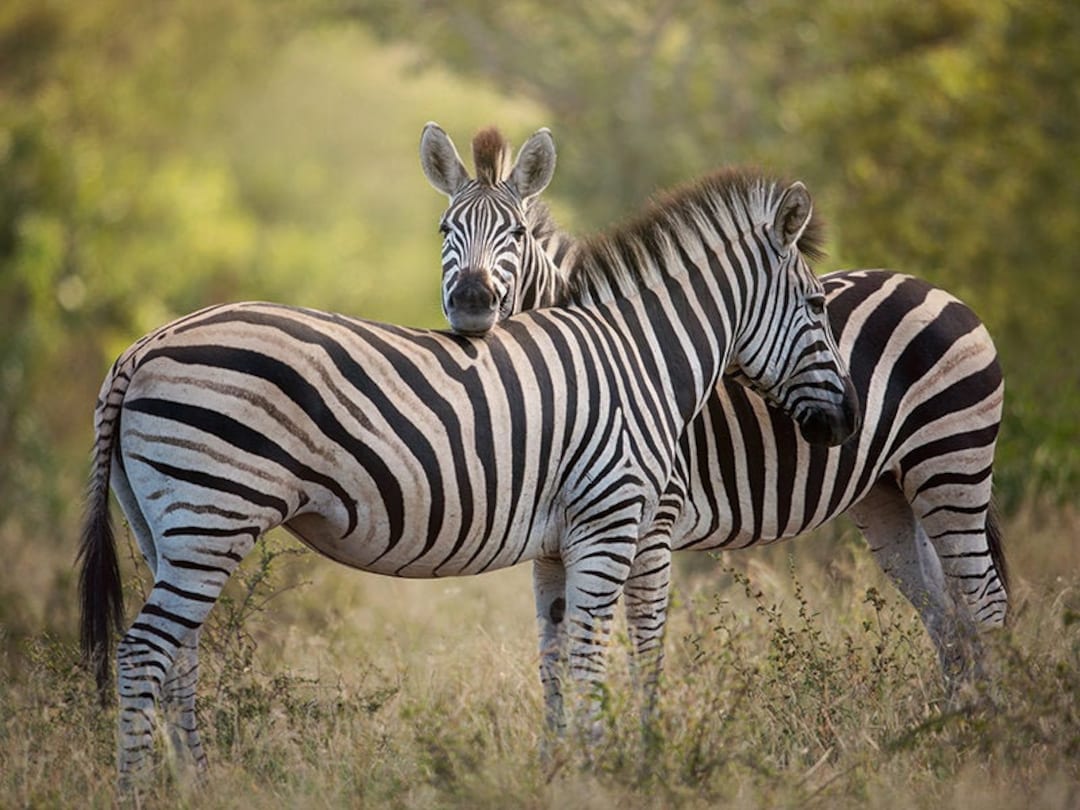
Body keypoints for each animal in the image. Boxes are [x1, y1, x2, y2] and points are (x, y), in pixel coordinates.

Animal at [78, 159, 858, 784]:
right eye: (817, 305)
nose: (847, 420)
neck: (638, 357)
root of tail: (138, 349)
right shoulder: (610, 523)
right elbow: (589, 660)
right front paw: (603, 772)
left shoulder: (558, 544)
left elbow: (556, 659)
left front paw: (562, 772)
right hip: (214, 513)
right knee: (144, 654)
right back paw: (139, 791)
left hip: (169, 527)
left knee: (180, 659)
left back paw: (198, 785)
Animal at [420, 124, 1008, 716]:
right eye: (445, 229)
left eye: (516, 234)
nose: (471, 302)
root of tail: (935, 288)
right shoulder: (553, 539)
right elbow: (555, 662)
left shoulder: (650, 524)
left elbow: (642, 652)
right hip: (890, 493)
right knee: (947, 614)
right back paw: (959, 719)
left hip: (950, 461)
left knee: (985, 604)